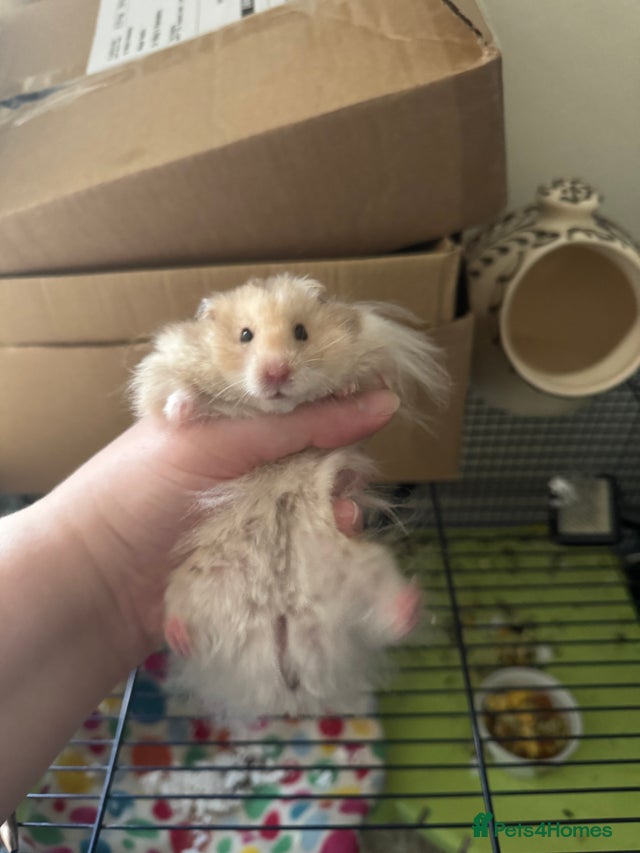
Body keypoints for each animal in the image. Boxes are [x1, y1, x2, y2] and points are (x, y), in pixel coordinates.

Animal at [131, 273, 448, 716]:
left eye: (301, 332)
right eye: (245, 335)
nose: (276, 374)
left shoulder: (379, 356)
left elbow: (365, 379)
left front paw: (346, 390)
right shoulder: (161, 372)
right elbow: (173, 397)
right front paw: (185, 411)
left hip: (367, 570)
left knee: (387, 621)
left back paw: (412, 599)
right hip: (199, 584)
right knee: (191, 636)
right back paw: (175, 633)